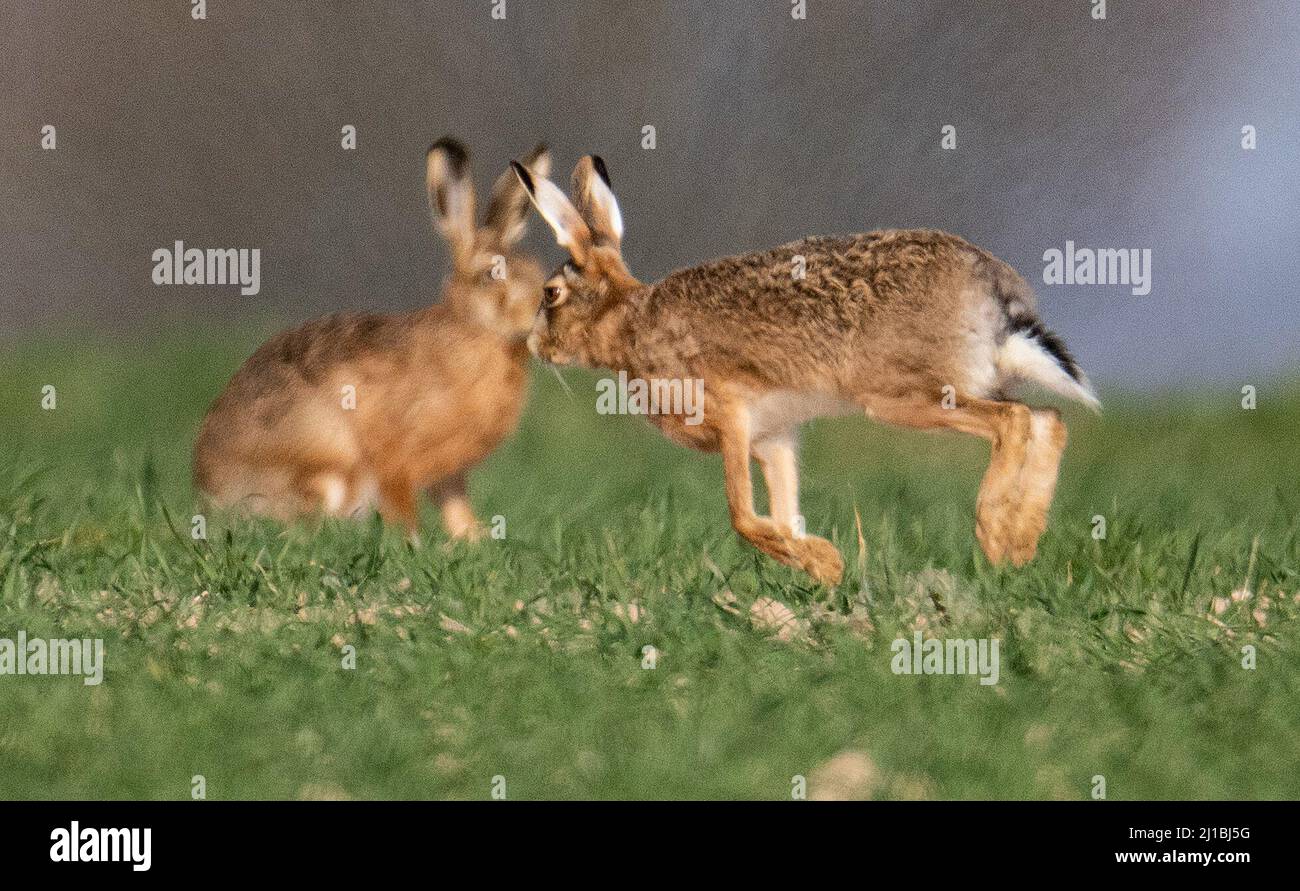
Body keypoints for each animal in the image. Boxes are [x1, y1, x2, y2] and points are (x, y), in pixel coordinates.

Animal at [192, 138, 551, 539]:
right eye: (491, 274)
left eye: (537, 269)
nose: (540, 313)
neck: (476, 333)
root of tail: (210, 496)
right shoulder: (394, 455)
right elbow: (401, 502)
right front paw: (414, 542)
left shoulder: (448, 474)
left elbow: (455, 505)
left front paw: (471, 538)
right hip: (328, 461)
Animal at [510, 154, 1099, 585]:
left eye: (550, 294)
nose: (533, 343)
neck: (628, 323)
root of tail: (992, 294)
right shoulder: (773, 439)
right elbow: (783, 510)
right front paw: (824, 569)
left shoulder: (730, 416)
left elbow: (743, 516)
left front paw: (824, 563)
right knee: (1048, 420)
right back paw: (1023, 544)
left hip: (903, 397)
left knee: (1015, 422)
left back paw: (996, 536)